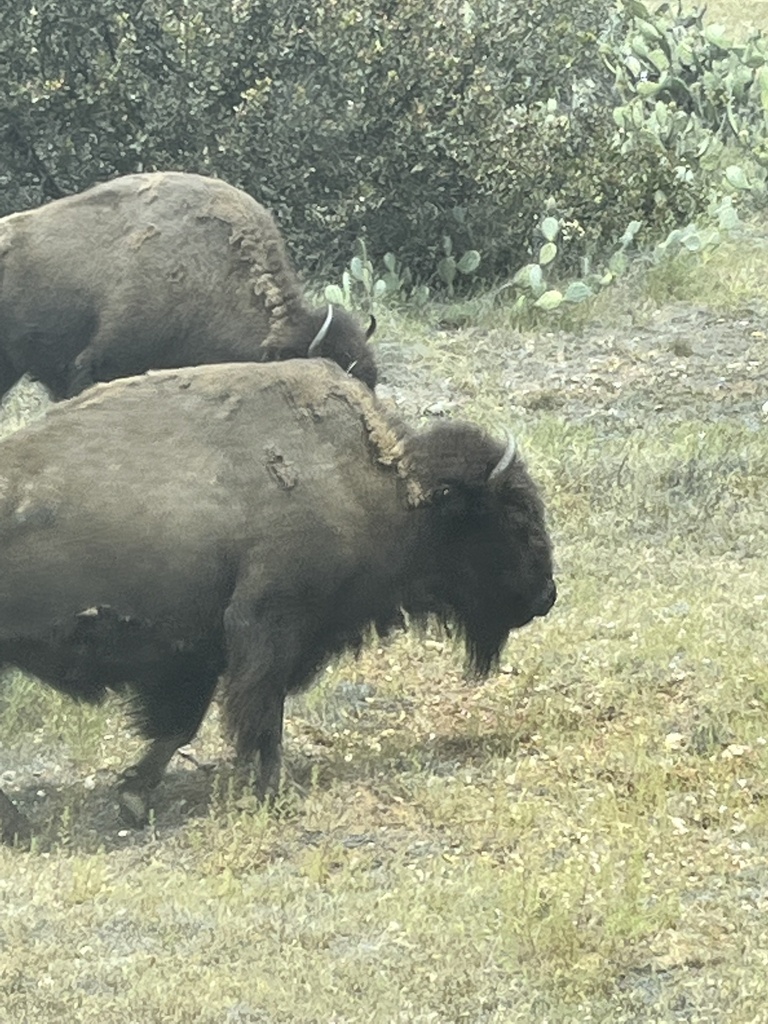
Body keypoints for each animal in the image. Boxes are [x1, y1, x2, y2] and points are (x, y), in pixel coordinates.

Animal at [0, 360, 555, 842]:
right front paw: (268, 790)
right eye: (517, 517)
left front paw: (135, 795)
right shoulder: (268, 627)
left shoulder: (204, 653)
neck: (374, 489)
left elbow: (182, 725)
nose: (547, 595)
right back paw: (17, 825)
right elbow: (257, 713)